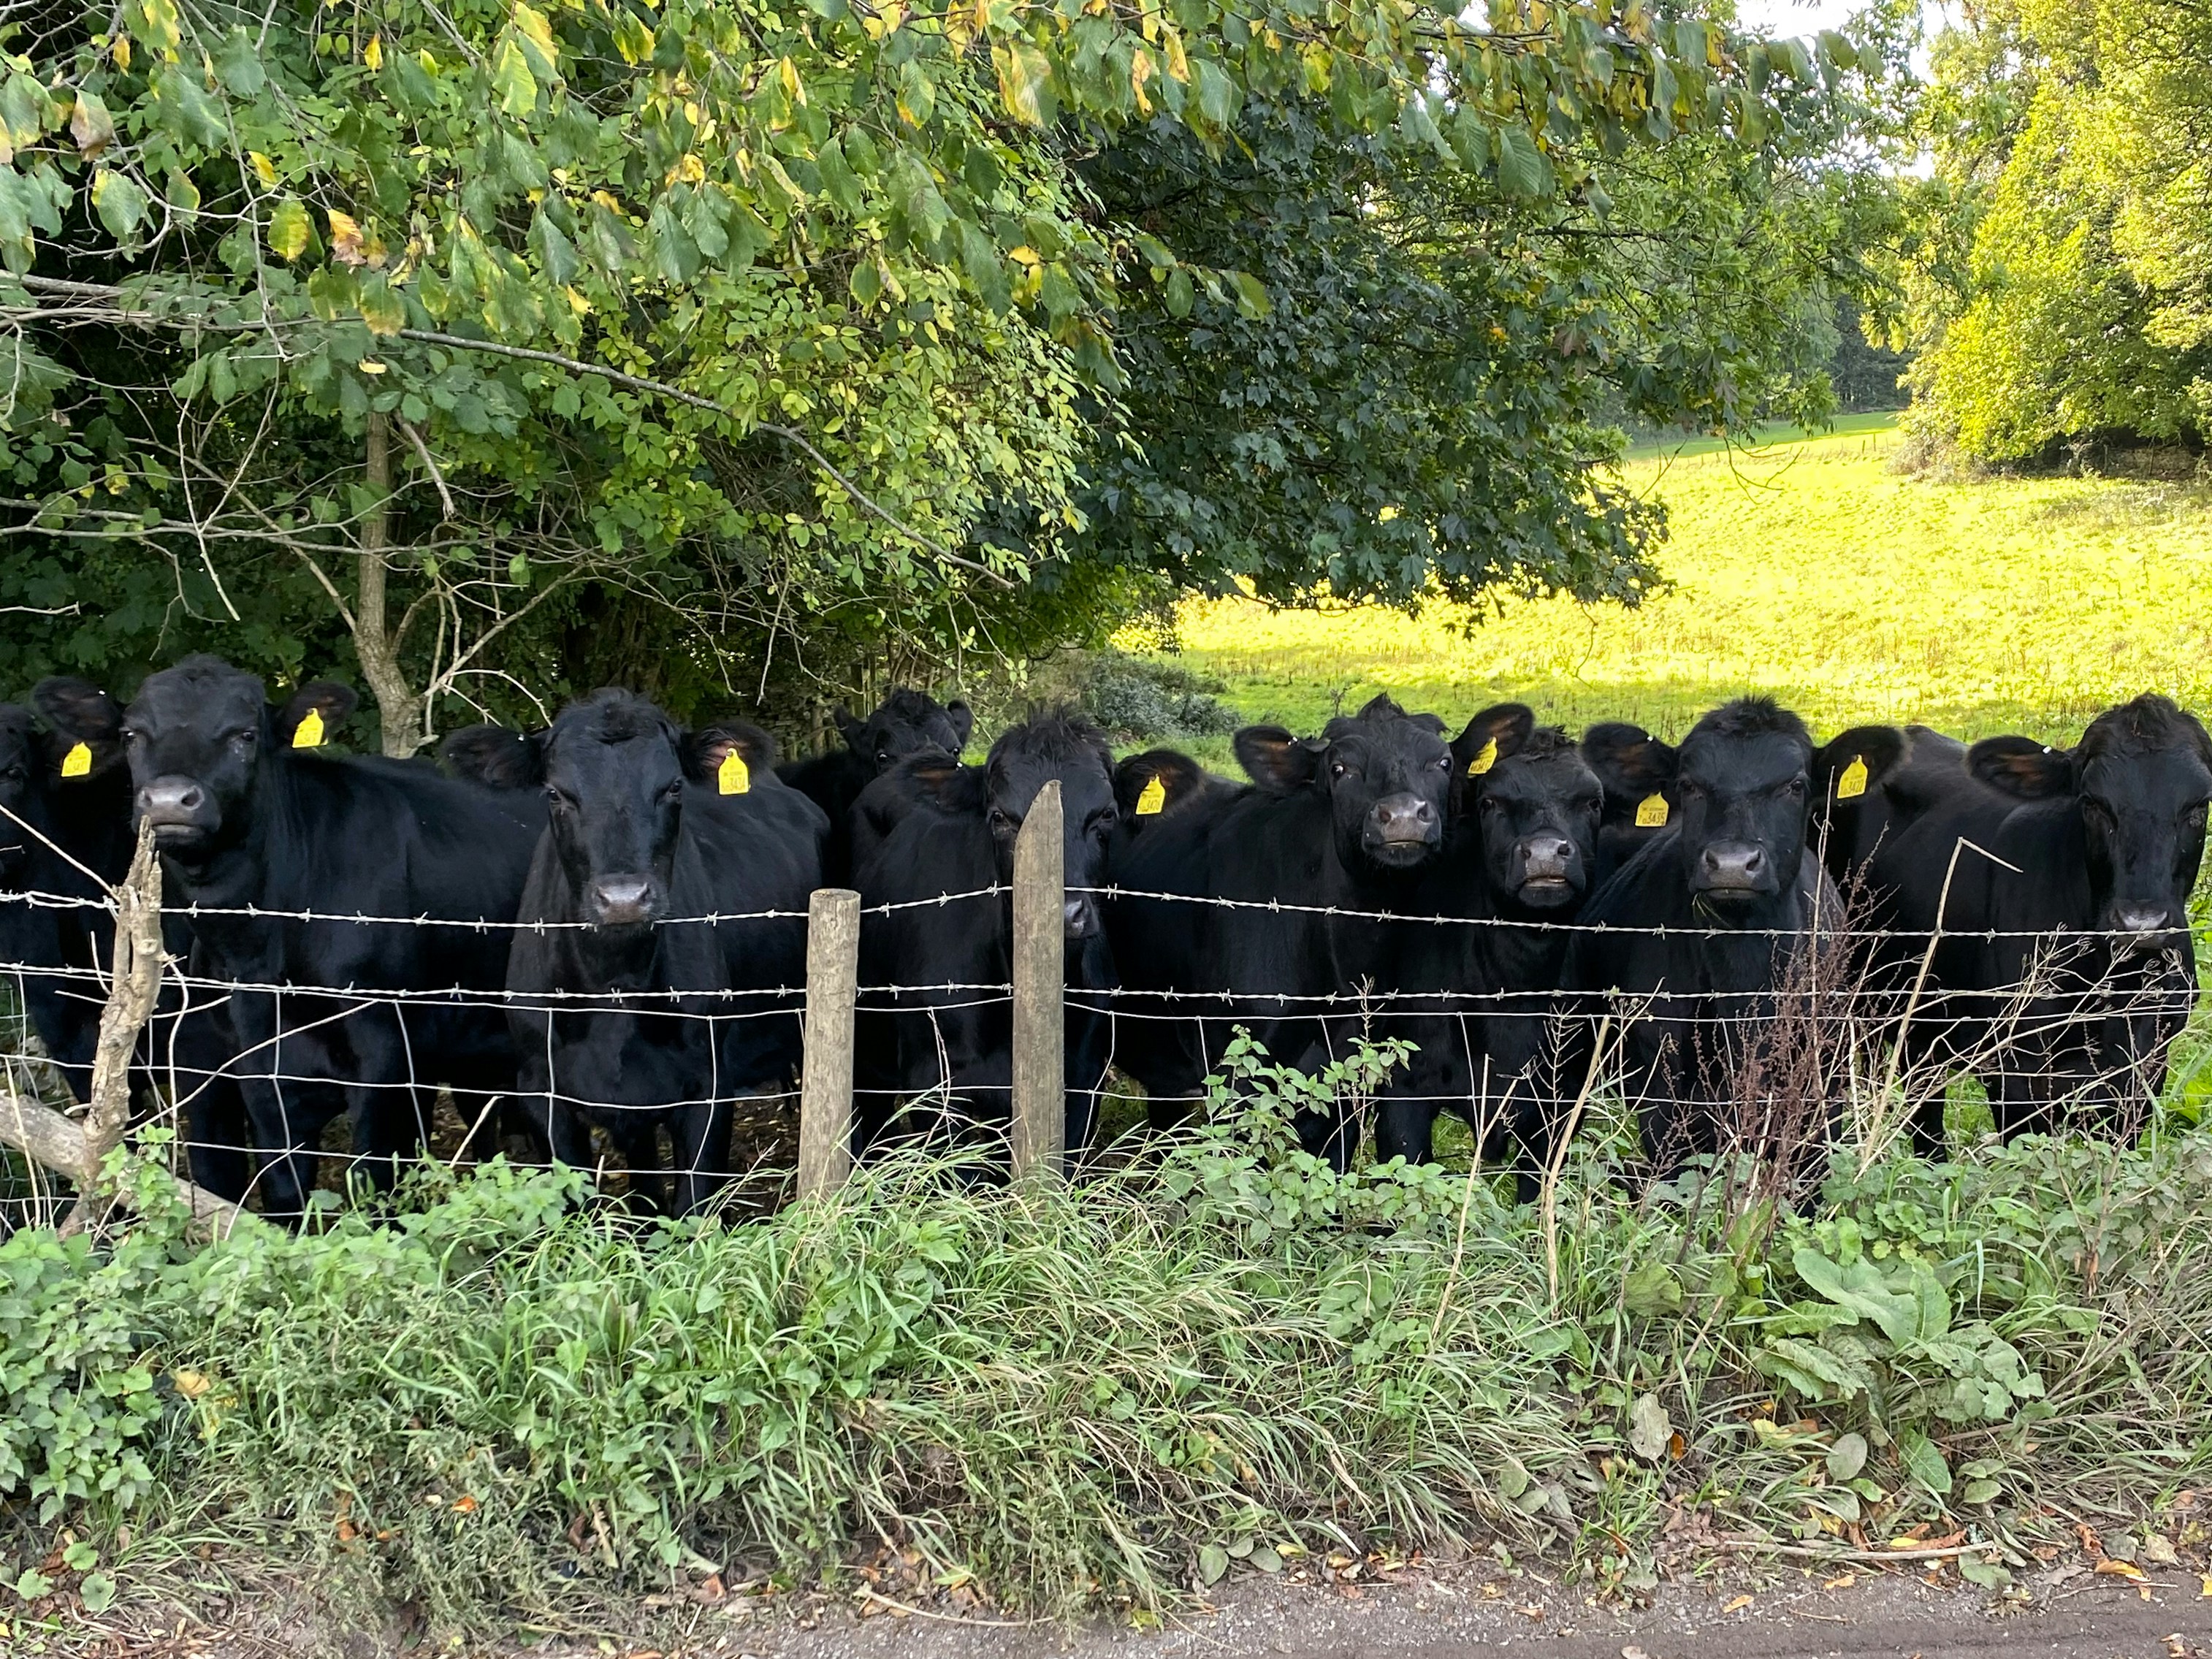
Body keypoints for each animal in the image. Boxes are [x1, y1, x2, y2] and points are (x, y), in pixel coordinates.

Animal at [58, 654, 544, 1223]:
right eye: (132, 735)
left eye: (245, 735)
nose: (170, 802)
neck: (267, 952)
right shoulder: (260, 1072)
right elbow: (282, 1192)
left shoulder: (384, 1057)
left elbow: (371, 1185)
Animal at [441, 691, 822, 1213]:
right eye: (555, 793)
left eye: (674, 787)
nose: (623, 899)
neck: (614, 987)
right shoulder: (542, 1091)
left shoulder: (707, 1088)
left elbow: (690, 1210)